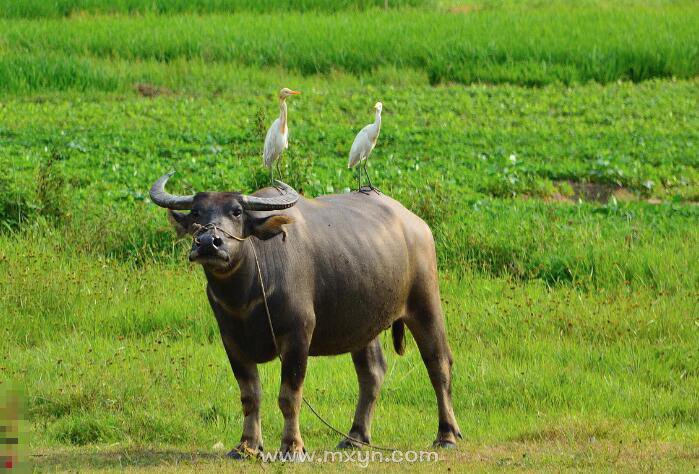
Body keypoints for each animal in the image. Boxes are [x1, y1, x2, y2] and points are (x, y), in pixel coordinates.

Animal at [149, 173, 460, 456]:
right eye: (196, 212)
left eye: (237, 212)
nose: (208, 242)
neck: (246, 293)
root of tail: (417, 224)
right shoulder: (231, 340)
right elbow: (250, 395)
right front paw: (247, 446)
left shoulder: (298, 335)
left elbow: (289, 396)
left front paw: (292, 447)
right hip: (363, 324)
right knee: (372, 372)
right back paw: (355, 436)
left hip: (425, 302)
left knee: (438, 363)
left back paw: (446, 435)